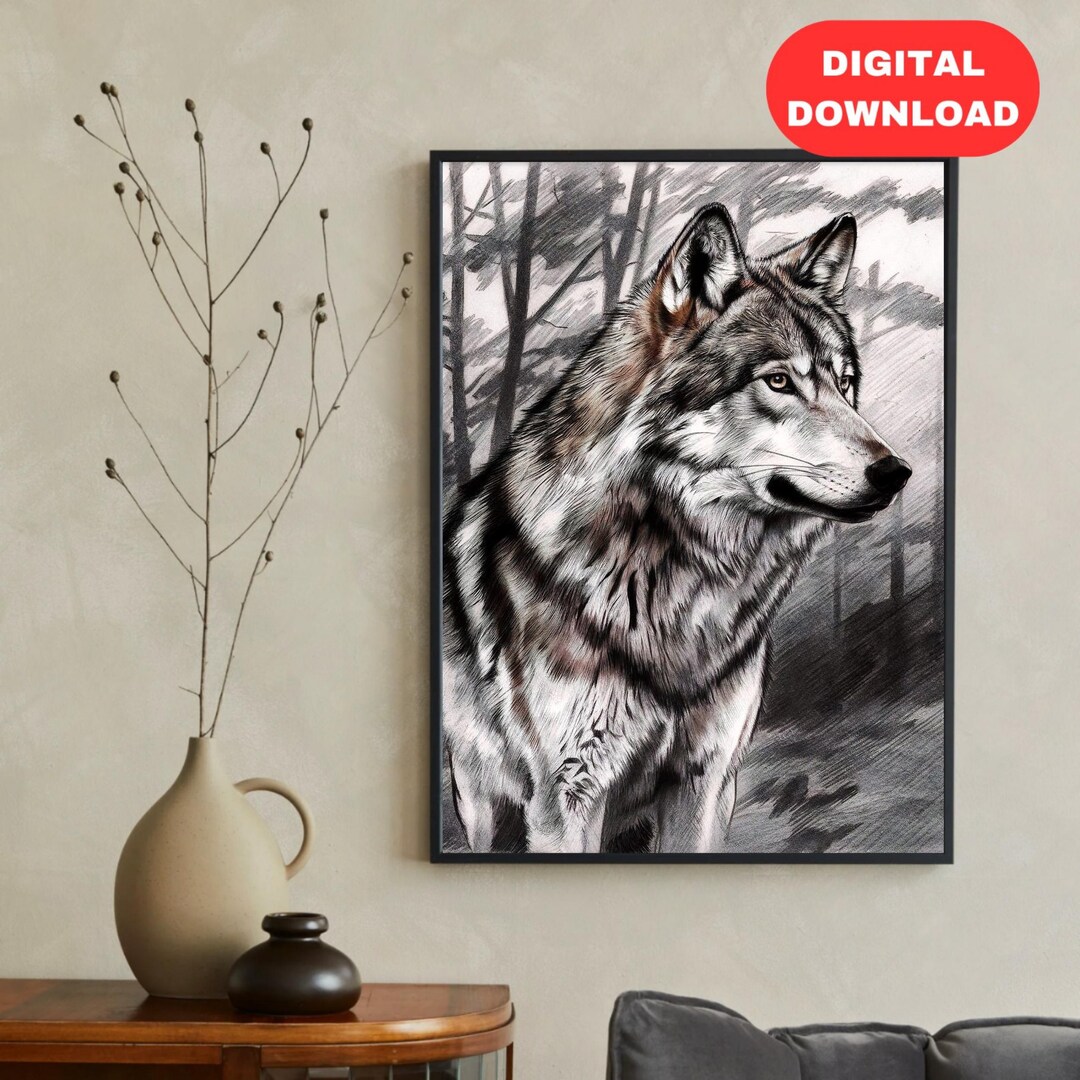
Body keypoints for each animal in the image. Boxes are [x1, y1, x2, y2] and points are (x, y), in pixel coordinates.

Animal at [443, 201, 911, 855]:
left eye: (844, 385)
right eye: (779, 381)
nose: (896, 473)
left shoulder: (705, 781)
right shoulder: (567, 798)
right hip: (485, 802)